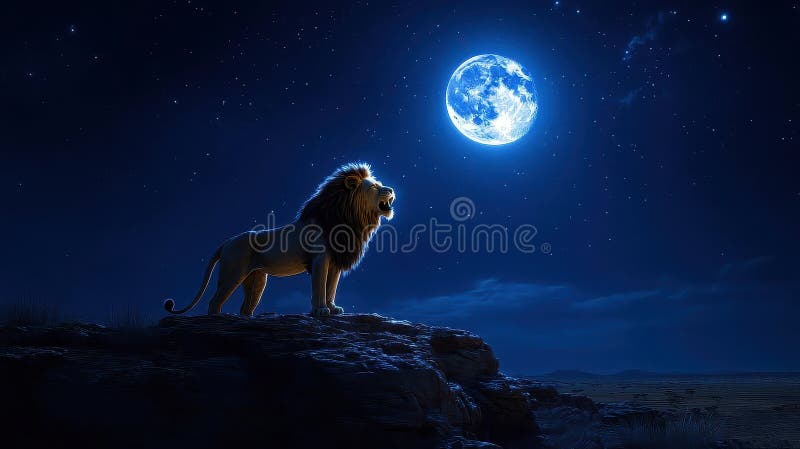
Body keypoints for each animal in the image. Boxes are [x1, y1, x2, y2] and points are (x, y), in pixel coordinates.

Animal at [163, 162, 395, 317]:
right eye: (374, 187)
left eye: (380, 183)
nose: (391, 189)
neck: (350, 219)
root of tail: (226, 242)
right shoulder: (320, 258)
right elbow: (320, 286)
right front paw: (320, 310)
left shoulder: (336, 261)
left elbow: (331, 287)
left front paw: (332, 308)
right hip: (233, 273)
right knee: (214, 303)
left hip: (256, 279)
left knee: (245, 308)